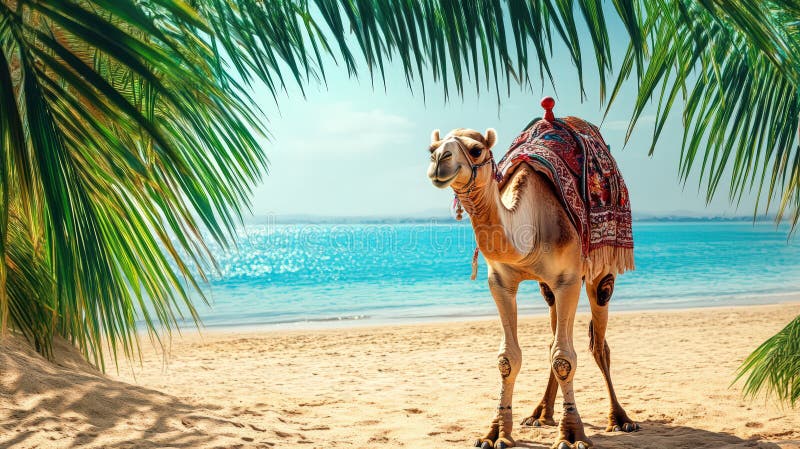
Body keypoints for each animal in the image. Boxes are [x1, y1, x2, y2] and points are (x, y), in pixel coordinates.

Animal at [426, 104, 638, 449]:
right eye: (431, 149)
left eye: (476, 149)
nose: (439, 161)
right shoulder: (500, 282)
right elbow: (509, 358)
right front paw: (496, 433)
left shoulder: (568, 279)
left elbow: (564, 357)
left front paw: (571, 435)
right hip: (547, 288)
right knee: (554, 336)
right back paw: (540, 413)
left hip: (601, 272)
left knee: (598, 343)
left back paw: (620, 419)